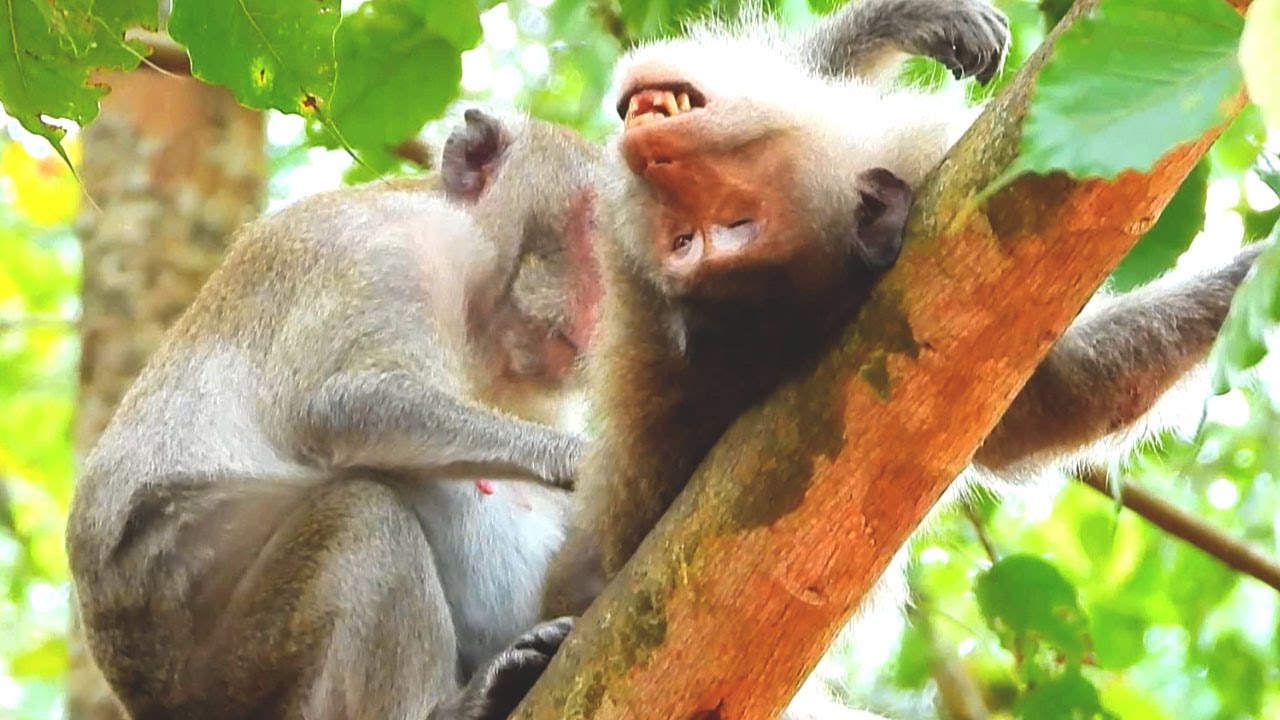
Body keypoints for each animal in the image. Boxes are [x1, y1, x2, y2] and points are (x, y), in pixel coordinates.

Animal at [65, 109, 601, 720]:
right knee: (361, 513)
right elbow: (341, 404)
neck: (483, 325)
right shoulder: (381, 252)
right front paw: (577, 458)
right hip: (232, 668)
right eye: (596, 222)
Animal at [536, 0, 1265, 717]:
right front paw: (1252, 276)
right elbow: (1047, 403)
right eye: (686, 241)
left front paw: (909, 21)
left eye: (730, 224)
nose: (654, 163)